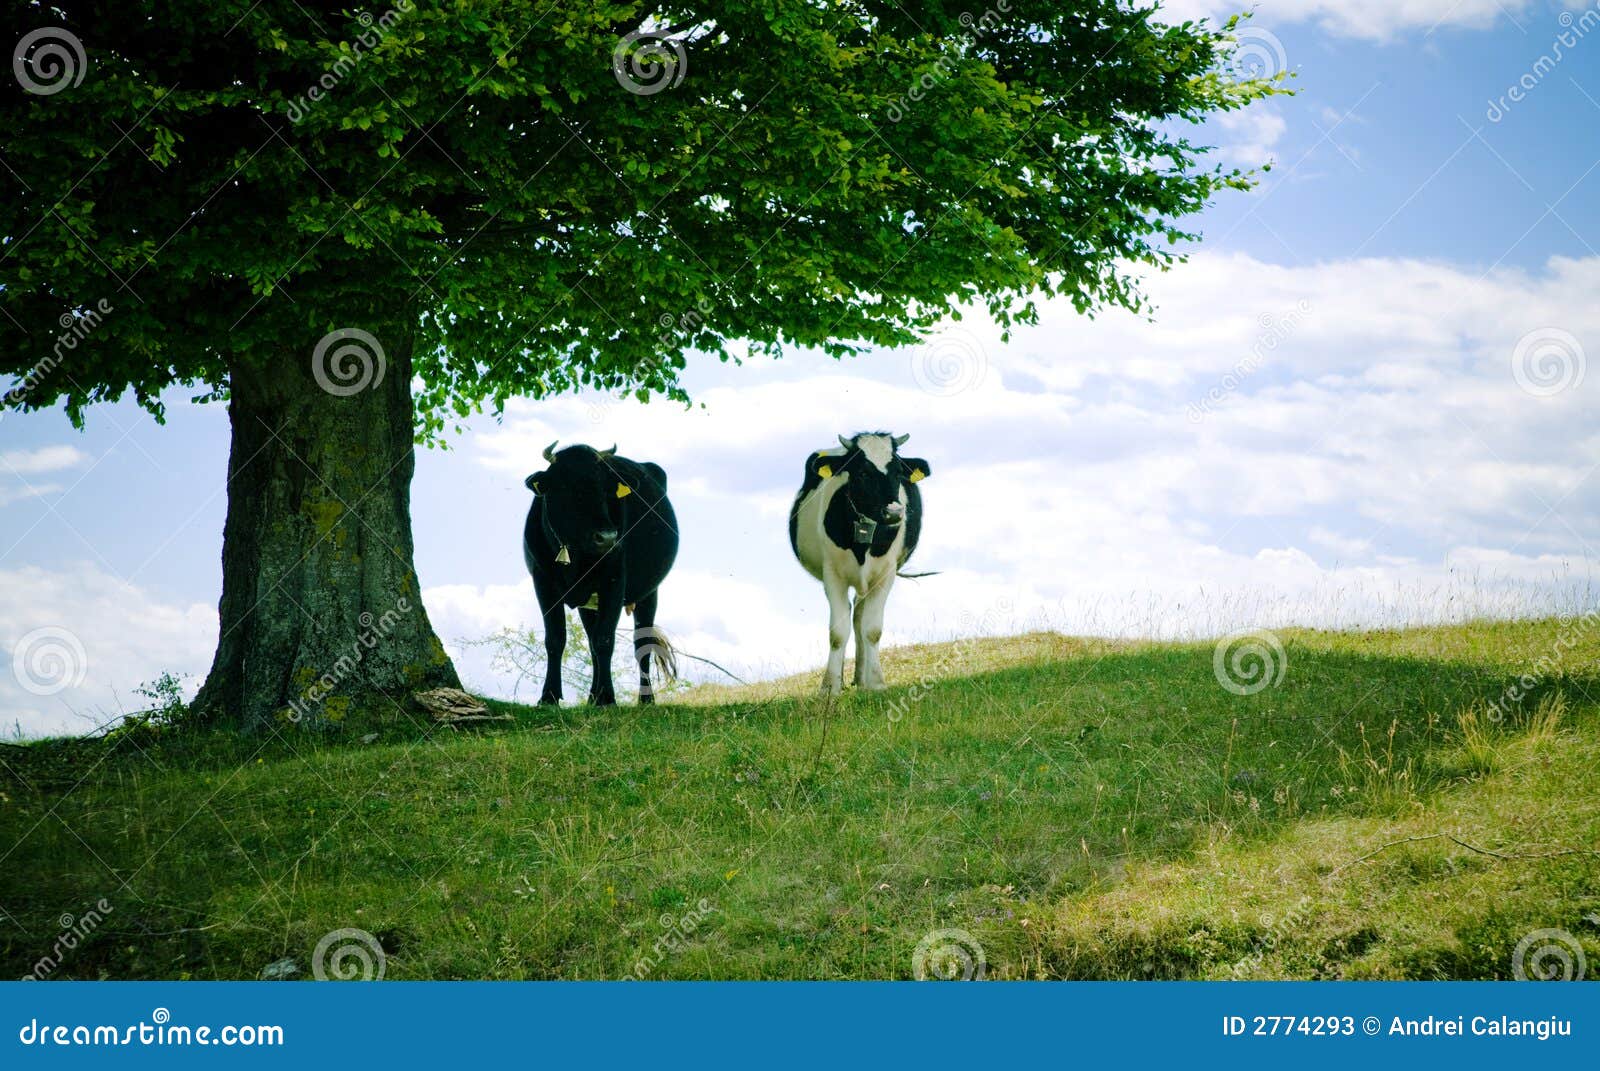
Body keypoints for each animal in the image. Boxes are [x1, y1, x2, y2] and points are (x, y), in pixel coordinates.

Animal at [523, 442, 679, 706]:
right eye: (566, 486)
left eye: (605, 489)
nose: (607, 537)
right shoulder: (542, 582)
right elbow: (555, 639)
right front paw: (549, 696)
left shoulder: (614, 581)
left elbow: (605, 639)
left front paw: (607, 697)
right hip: (590, 602)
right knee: (591, 641)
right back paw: (592, 698)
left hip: (649, 592)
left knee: (642, 643)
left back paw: (645, 699)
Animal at [789, 432, 931, 694]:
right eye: (863, 472)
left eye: (898, 471)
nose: (894, 512)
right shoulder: (832, 575)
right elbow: (837, 632)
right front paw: (830, 686)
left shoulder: (886, 574)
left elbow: (872, 629)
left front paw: (876, 682)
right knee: (852, 617)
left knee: (859, 619)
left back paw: (861, 678)